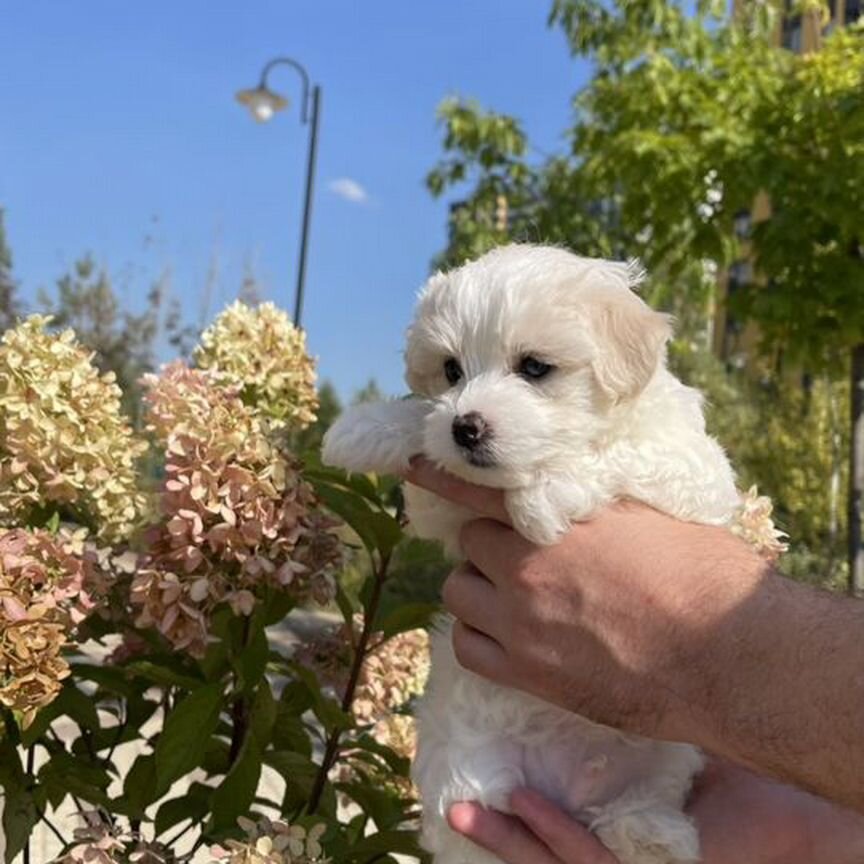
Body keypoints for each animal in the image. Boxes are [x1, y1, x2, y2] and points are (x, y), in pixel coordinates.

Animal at [320, 245, 740, 864]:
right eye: (452, 370)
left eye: (535, 368)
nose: (466, 427)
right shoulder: (445, 507)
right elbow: (428, 441)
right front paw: (367, 427)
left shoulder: (695, 478)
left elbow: (620, 457)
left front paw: (547, 492)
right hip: (465, 775)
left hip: (668, 754)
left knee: (631, 808)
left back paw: (654, 833)